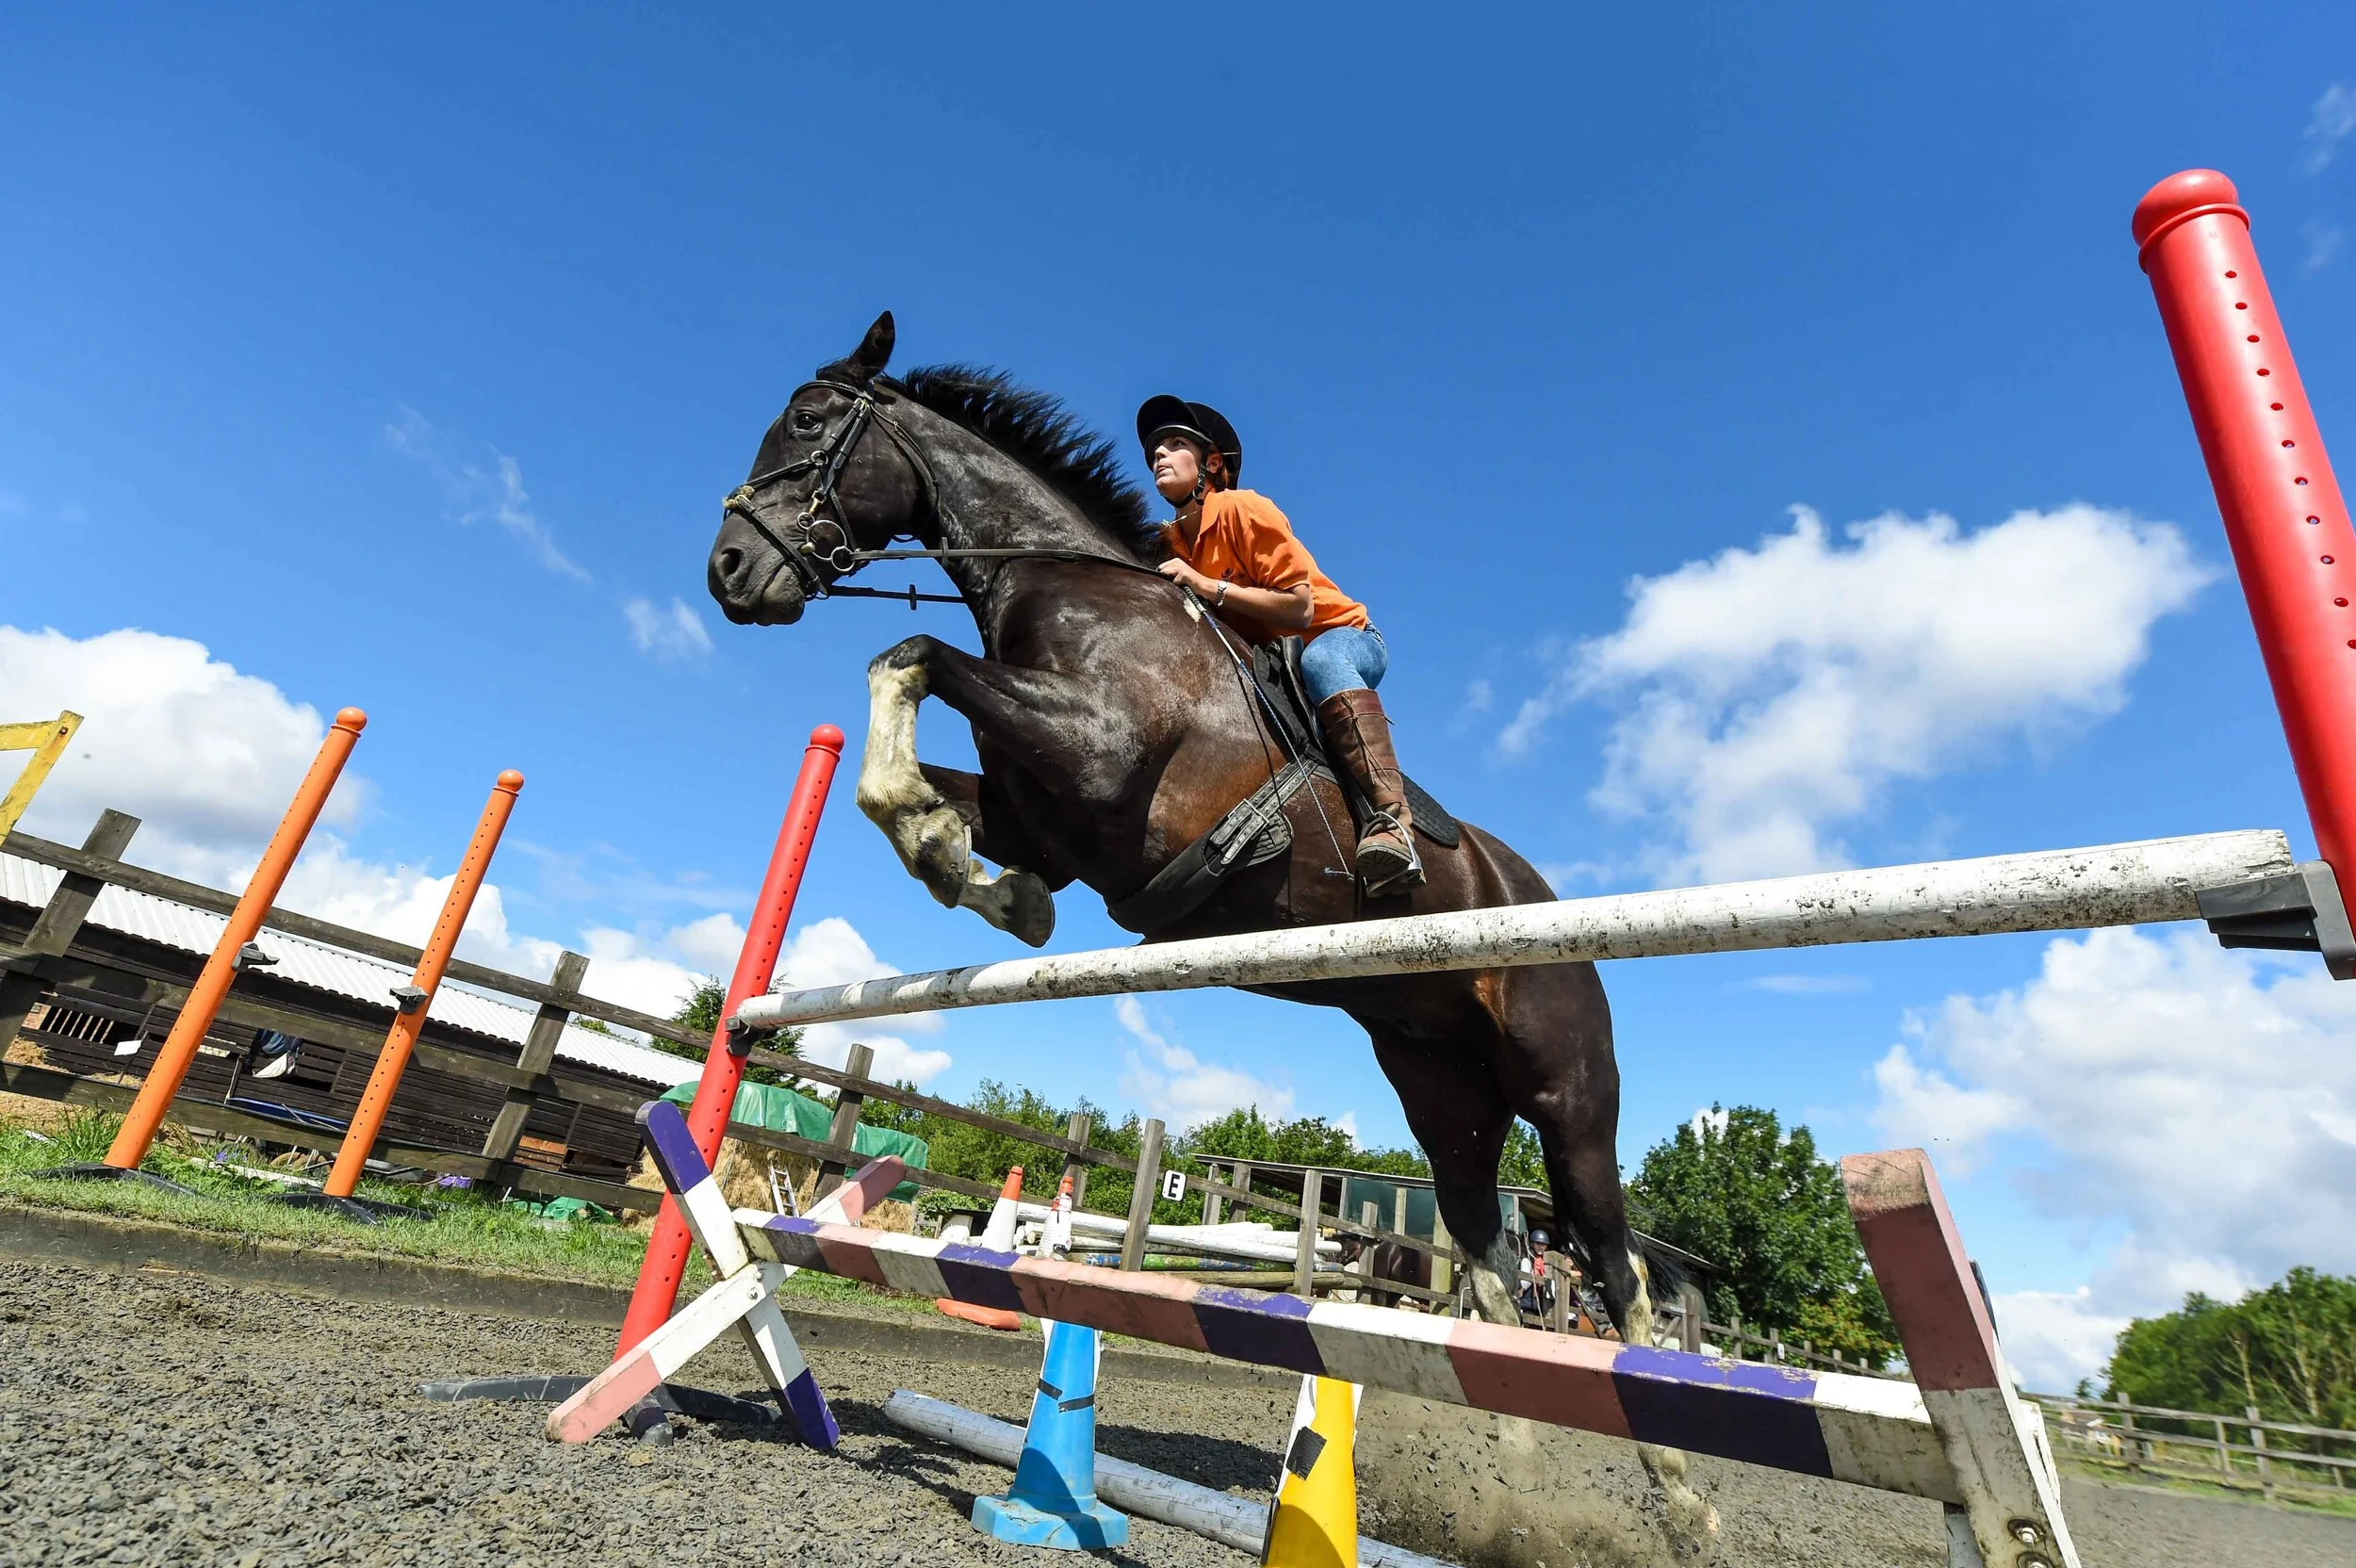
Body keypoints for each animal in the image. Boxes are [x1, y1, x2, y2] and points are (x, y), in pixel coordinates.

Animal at [706, 314, 1717, 1554]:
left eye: (807, 422)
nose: (727, 572)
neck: (1061, 581)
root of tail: (1540, 904)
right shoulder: (1050, 817)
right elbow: (911, 777)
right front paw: (978, 877)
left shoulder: (1096, 754)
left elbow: (908, 660)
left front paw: (964, 863)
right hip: (1443, 1096)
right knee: (1486, 1273)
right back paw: (1513, 1488)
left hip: (1567, 1095)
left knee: (1620, 1277)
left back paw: (1686, 1506)